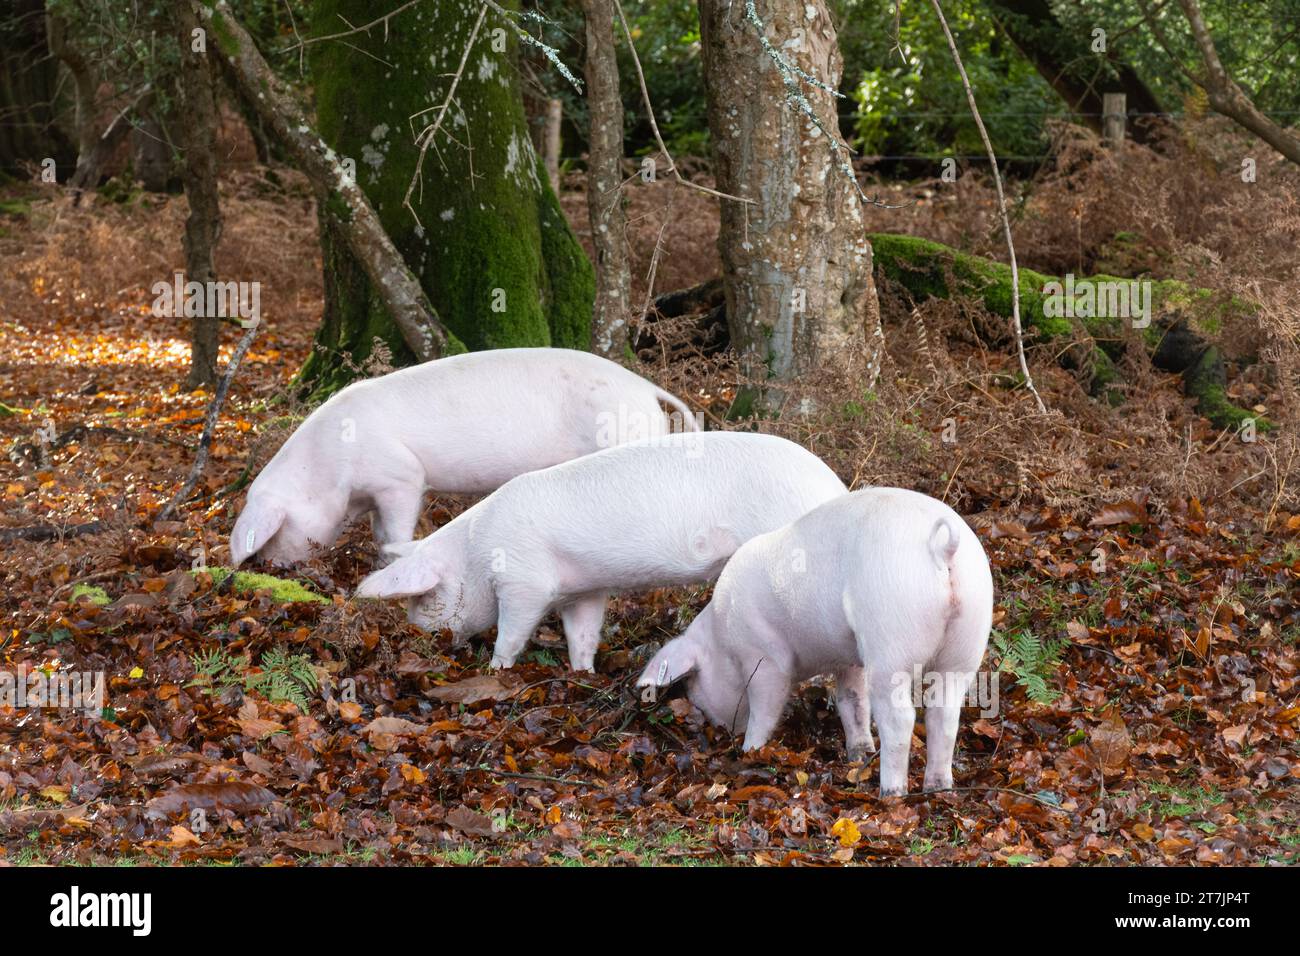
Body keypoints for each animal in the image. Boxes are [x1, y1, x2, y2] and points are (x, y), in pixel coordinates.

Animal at [230, 348, 699, 566]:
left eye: (278, 528)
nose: (270, 566)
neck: (329, 471)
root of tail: (645, 389)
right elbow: (380, 531)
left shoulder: (401, 477)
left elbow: (395, 531)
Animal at [355, 431, 848, 671]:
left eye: (426, 596)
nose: (419, 635)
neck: (477, 554)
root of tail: (834, 488)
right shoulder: (583, 591)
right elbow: (583, 635)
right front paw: (583, 674)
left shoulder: (524, 581)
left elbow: (511, 631)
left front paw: (495, 670)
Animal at [636, 487, 993, 796]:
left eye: (693, 684)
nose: (722, 732)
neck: (722, 638)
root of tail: (941, 550)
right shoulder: (849, 658)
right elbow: (851, 701)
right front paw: (859, 753)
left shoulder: (763, 658)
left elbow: (766, 706)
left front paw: (750, 749)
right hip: (967, 641)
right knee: (943, 712)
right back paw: (938, 787)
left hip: (892, 637)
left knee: (902, 718)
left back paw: (890, 792)